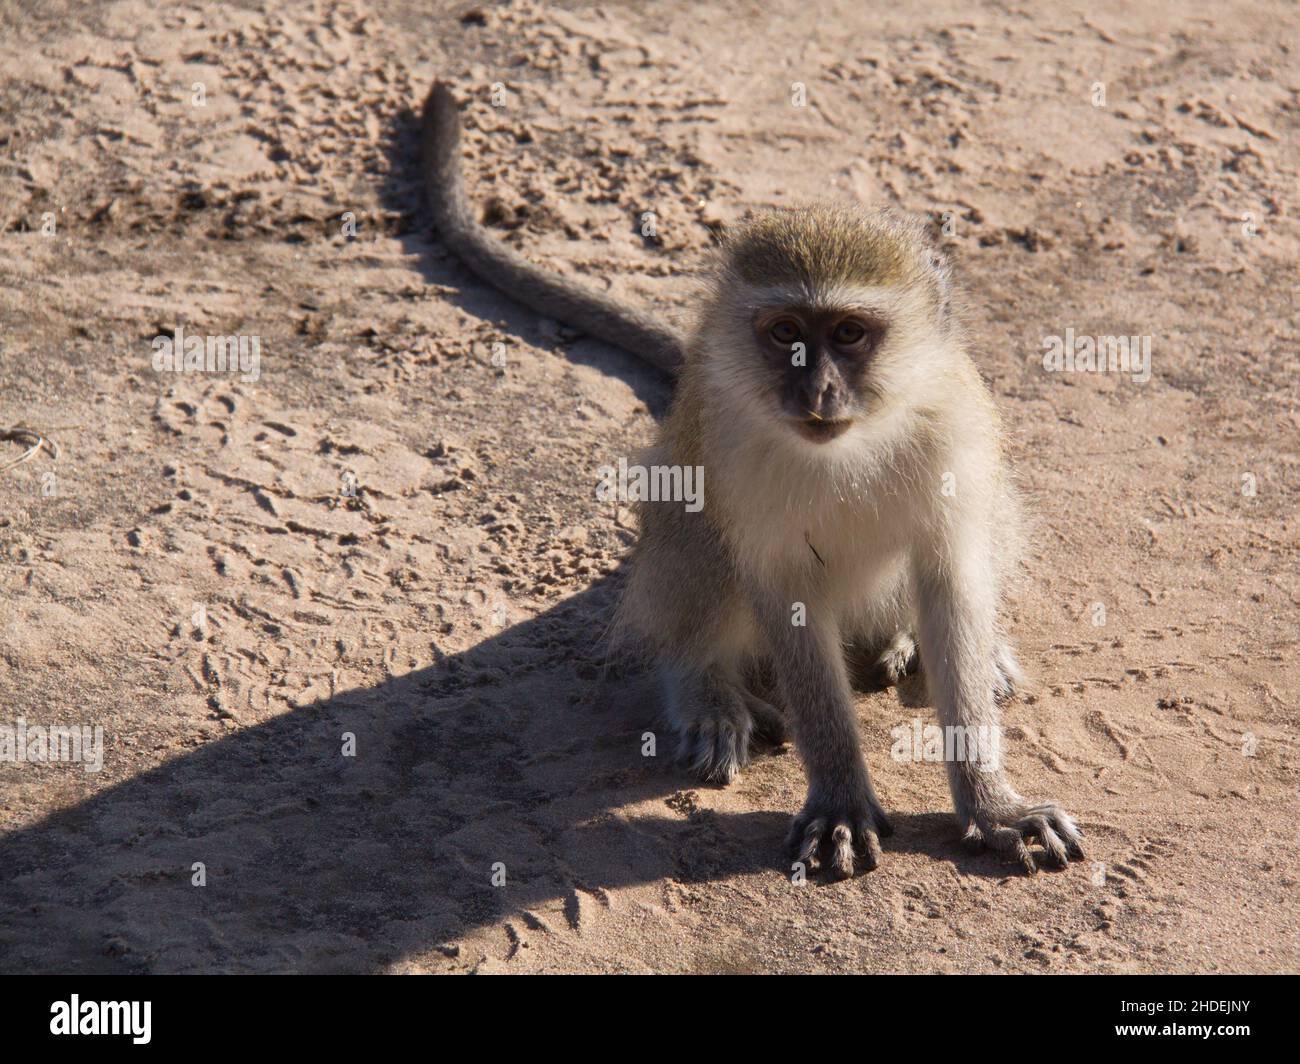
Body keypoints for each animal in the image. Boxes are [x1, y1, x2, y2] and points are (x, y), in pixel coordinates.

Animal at [421, 82, 1084, 877]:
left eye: (849, 334)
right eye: (785, 334)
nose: (817, 392)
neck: (855, 441)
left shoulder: (953, 429)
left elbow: (952, 577)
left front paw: (990, 800)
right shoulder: (738, 459)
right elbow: (781, 592)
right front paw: (839, 796)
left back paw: (918, 640)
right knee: (696, 537)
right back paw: (705, 685)